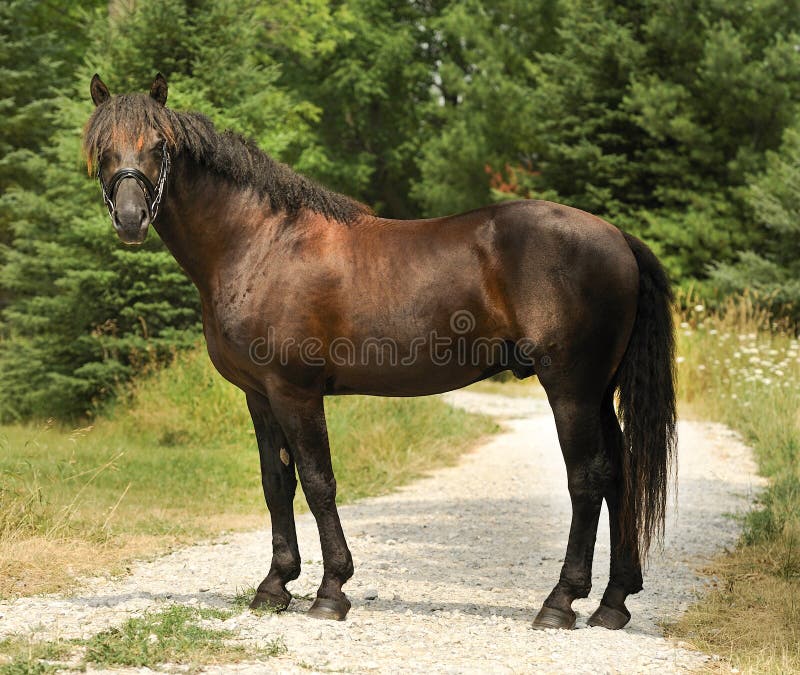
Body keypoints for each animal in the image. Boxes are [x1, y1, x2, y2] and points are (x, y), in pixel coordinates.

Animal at [83, 73, 676, 631]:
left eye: (159, 145)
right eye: (103, 148)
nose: (131, 219)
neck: (260, 243)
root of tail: (618, 237)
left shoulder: (295, 392)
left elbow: (318, 482)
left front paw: (331, 591)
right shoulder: (259, 395)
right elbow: (277, 483)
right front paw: (274, 586)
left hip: (571, 388)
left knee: (587, 478)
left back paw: (560, 602)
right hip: (599, 391)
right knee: (618, 474)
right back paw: (613, 603)